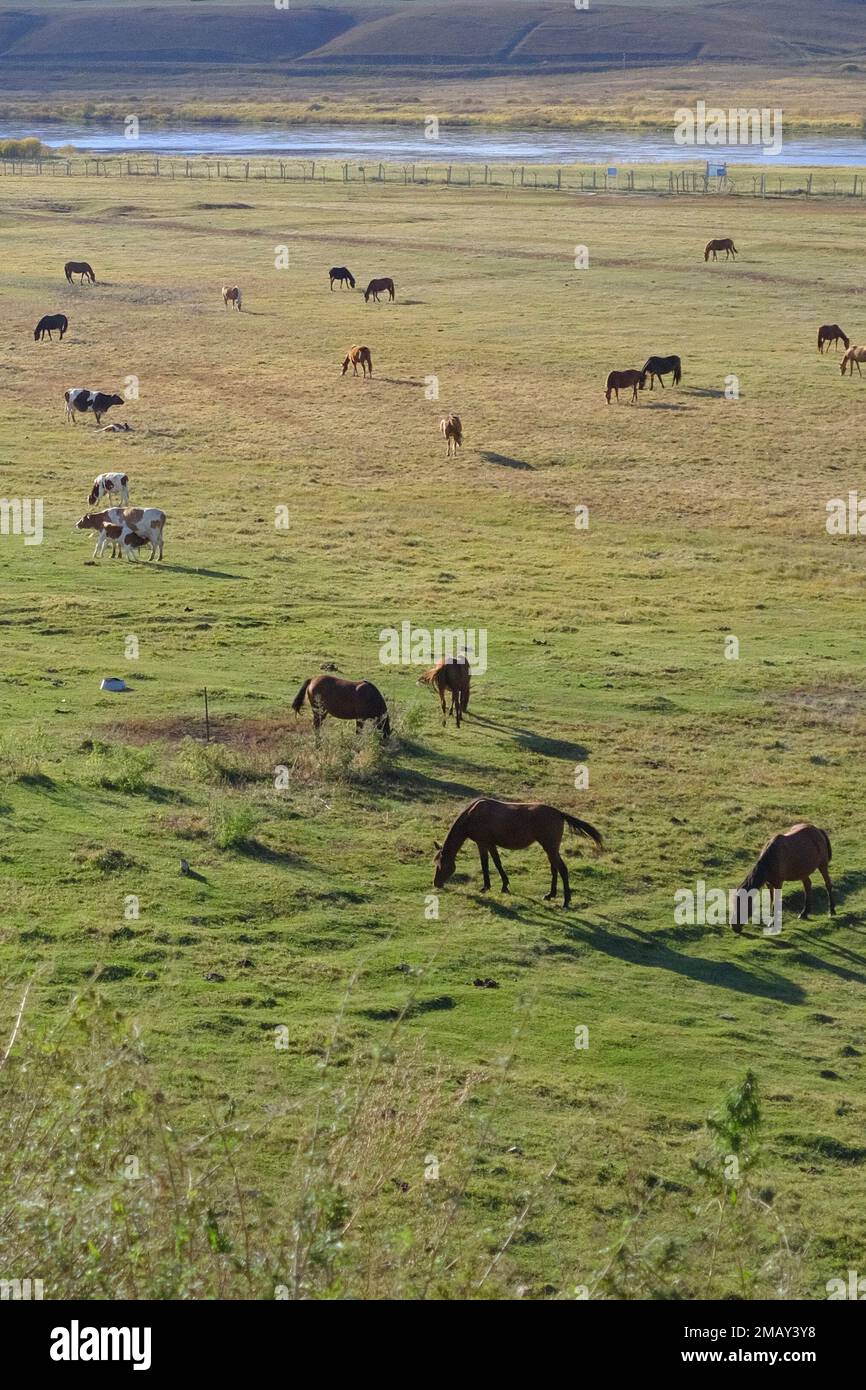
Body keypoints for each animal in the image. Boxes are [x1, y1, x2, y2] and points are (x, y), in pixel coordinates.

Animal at [433, 799, 603, 907]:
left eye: (440, 865)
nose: (436, 883)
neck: (472, 815)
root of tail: (559, 813)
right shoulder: (490, 844)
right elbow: (496, 862)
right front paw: (504, 886)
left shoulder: (483, 843)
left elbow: (486, 864)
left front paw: (486, 887)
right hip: (550, 848)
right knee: (554, 868)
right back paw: (550, 895)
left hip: (550, 847)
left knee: (562, 869)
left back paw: (566, 901)